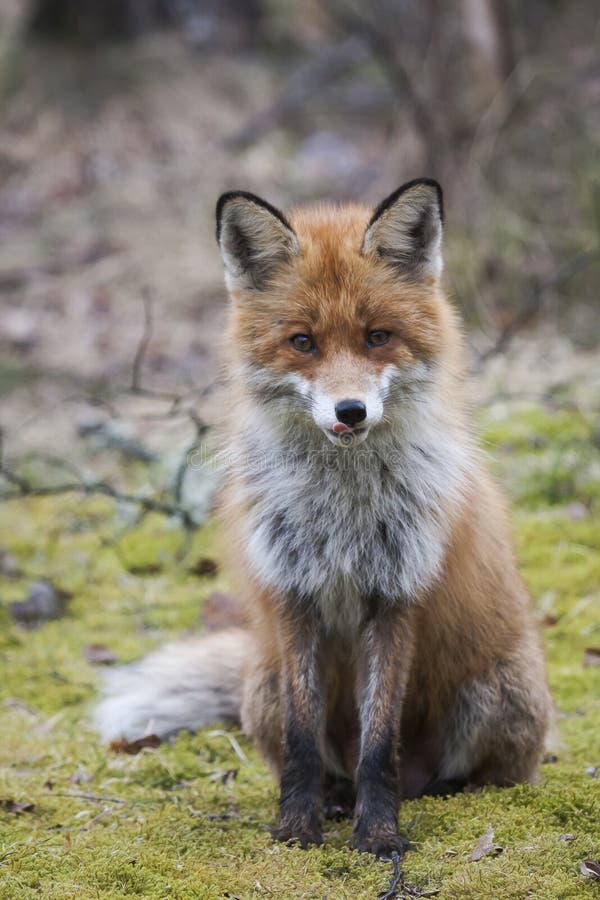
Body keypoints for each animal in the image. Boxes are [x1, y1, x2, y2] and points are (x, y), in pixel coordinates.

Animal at [96, 179, 552, 857]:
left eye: (377, 337)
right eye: (303, 342)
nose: (350, 411)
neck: (342, 516)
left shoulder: (396, 597)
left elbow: (379, 746)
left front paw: (380, 835)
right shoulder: (294, 597)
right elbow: (304, 742)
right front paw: (296, 829)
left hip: (495, 694)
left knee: (472, 775)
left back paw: (439, 793)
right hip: (263, 687)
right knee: (325, 757)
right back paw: (338, 801)